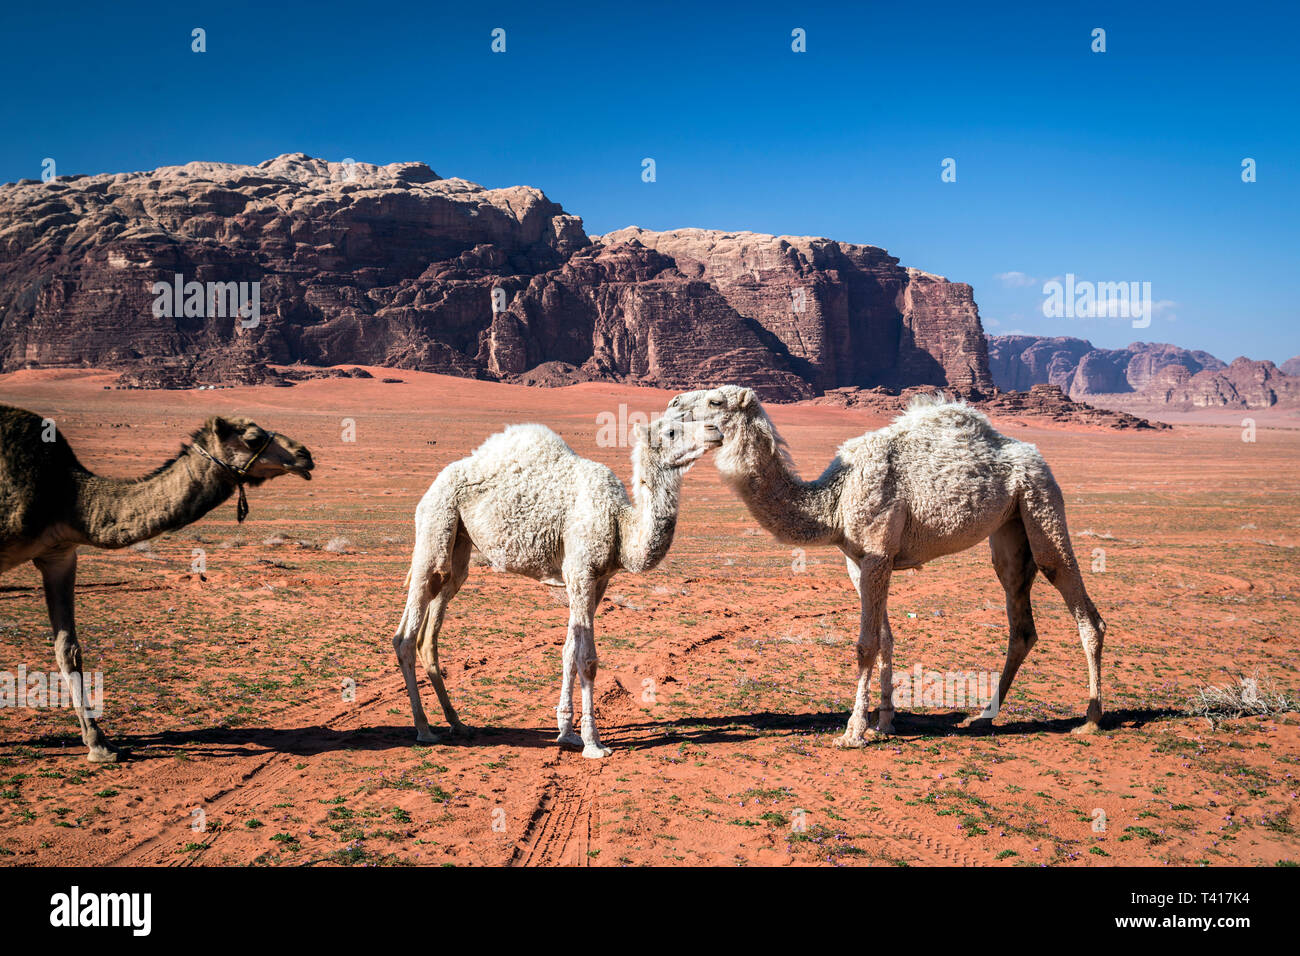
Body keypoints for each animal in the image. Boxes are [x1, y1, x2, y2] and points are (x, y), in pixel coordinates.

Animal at [0, 405, 315, 761]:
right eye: (253, 438)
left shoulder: (59, 554)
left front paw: (100, 745)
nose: (304, 455)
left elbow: (68, 649)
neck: (66, 497)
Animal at [393, 417, 723, 758]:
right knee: (406, 634)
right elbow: (587, 660)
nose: (715, 430)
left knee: (431, 628)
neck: (619, 524)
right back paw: (424, 729)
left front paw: (566, 732)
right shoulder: (580, 571)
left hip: (458, 547)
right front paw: (593, 743)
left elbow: (569, 651)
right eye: (671, 431)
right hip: (436, 523)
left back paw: (457, 723)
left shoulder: (599, 580)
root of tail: (435, 483)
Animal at [664, 386, 1105, 746]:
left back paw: (1090, 718)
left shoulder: (877, 551)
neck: (833, 500)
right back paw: (983, 717)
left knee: (1077, 600)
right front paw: (886, 721)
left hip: (1041, 499)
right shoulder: (859, 560)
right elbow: (885, 638)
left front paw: (854, 731)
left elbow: (865, 644)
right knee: (1020, 621)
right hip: (1010, 529)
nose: (671, 404)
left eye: (715, 401)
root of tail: (1033, 453)